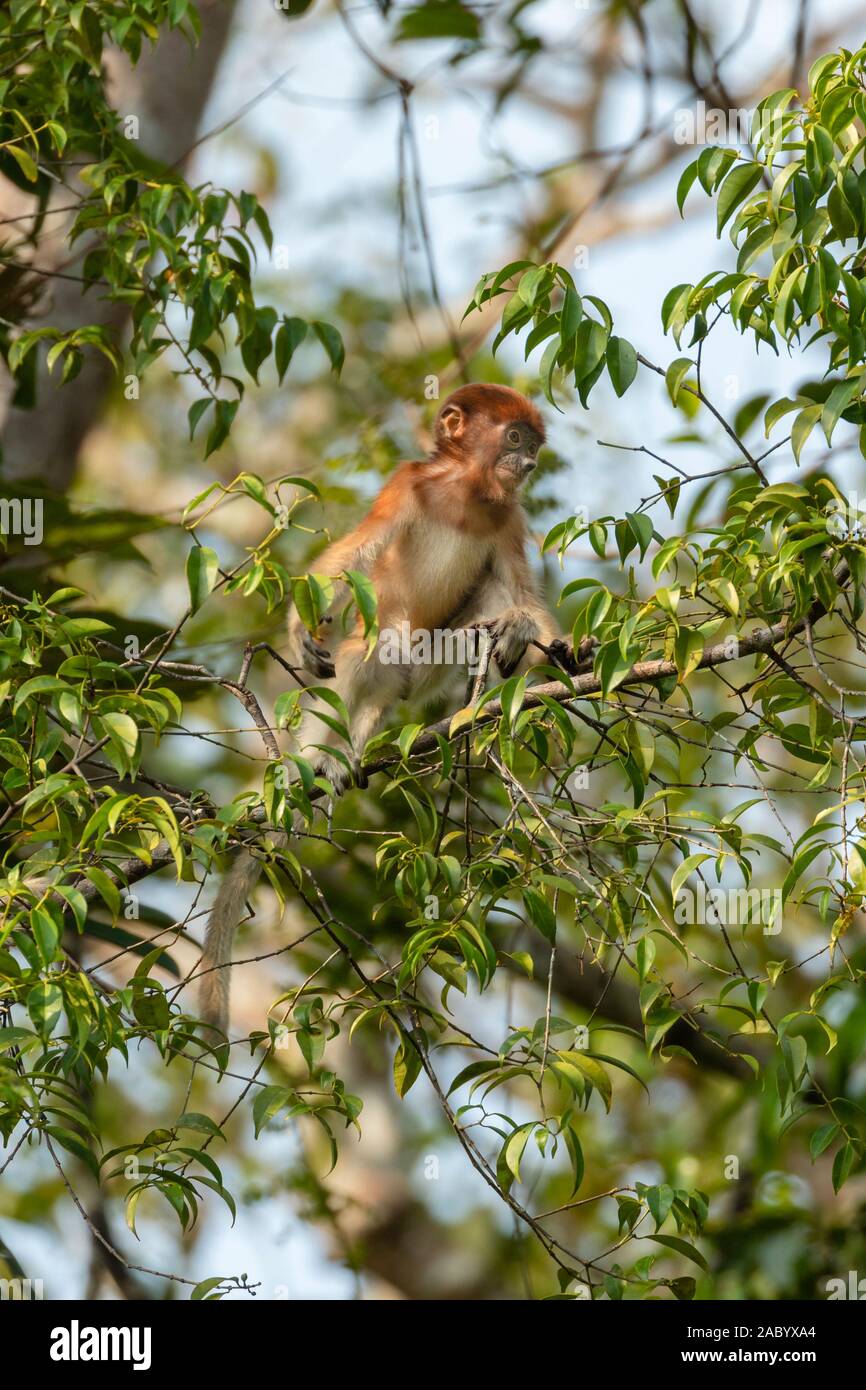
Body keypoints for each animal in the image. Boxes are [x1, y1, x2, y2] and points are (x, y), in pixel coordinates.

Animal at [198, 384, 571, 1033]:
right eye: (515, 437)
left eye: (531, 445)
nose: (528, 464)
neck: (465, 494)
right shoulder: (410, 486)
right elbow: (355, 553)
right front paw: (299, 629)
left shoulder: (508, 517)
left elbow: (522, 593)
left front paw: (561, 646)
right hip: (389, 654)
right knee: (373, 653)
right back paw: (324, 762)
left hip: (435, 665)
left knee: (489, 611)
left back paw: (501, 661)